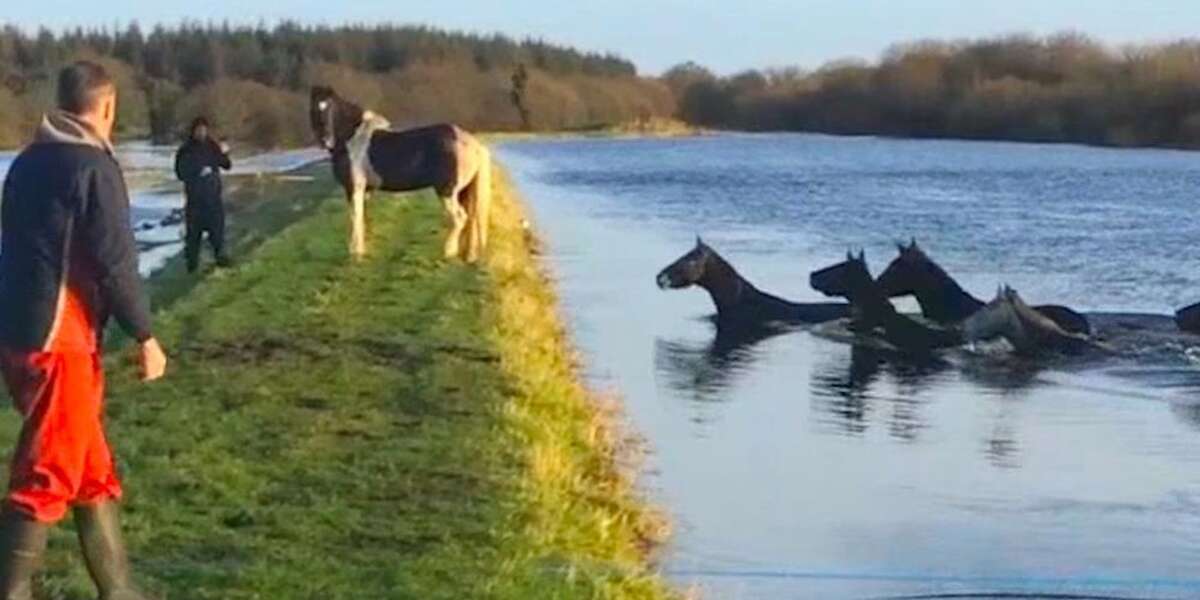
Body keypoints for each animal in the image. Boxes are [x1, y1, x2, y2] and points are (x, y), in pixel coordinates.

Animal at [309, 86, 492, 261]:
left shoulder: (354, 188)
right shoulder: (365, 190)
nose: (326, 139)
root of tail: (473, 144)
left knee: (459, 218)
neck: (352, 139)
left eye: (332, 108)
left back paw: (448, 253)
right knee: (469, 219)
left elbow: (355, 218)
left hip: (446, 192)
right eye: (314, 108)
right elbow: (361, 218)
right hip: (461, 192)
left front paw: (355, 254)